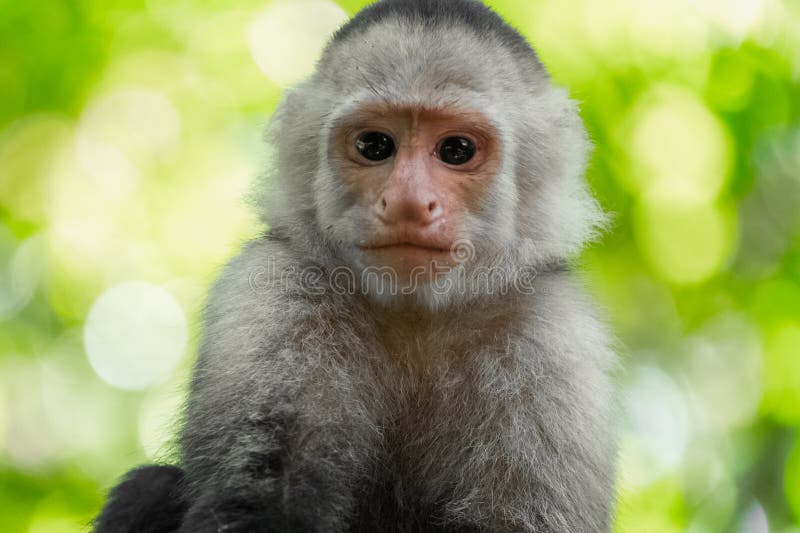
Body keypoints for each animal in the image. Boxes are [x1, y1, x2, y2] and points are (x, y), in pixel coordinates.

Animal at [93, 0, 618, 531]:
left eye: (457, 150)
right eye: (374, 146)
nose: (408, 202)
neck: (415, 318)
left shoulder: (554, 335)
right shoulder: (272, 289)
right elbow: (258, 501)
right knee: (150, 486)